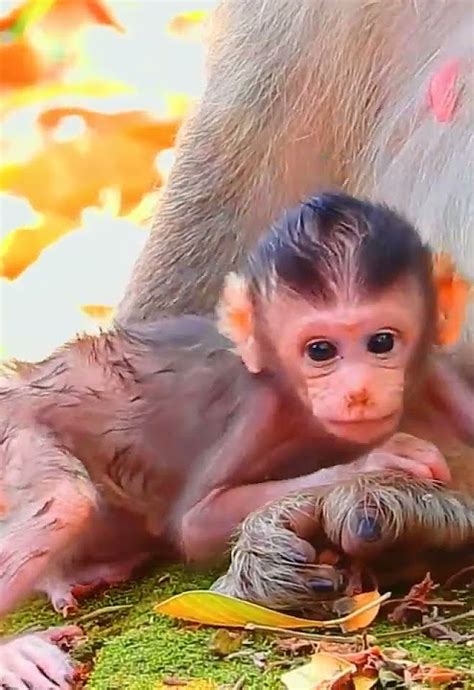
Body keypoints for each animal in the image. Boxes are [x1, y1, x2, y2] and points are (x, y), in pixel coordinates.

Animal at [2, 192, 473, 688]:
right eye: (320, 350)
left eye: (382, 342)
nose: (358, 392)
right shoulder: (259, 412)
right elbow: (195, 522)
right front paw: (378, 462)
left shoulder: (437, 373)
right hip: (16, 423)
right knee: (64, 500)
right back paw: (15, 649)